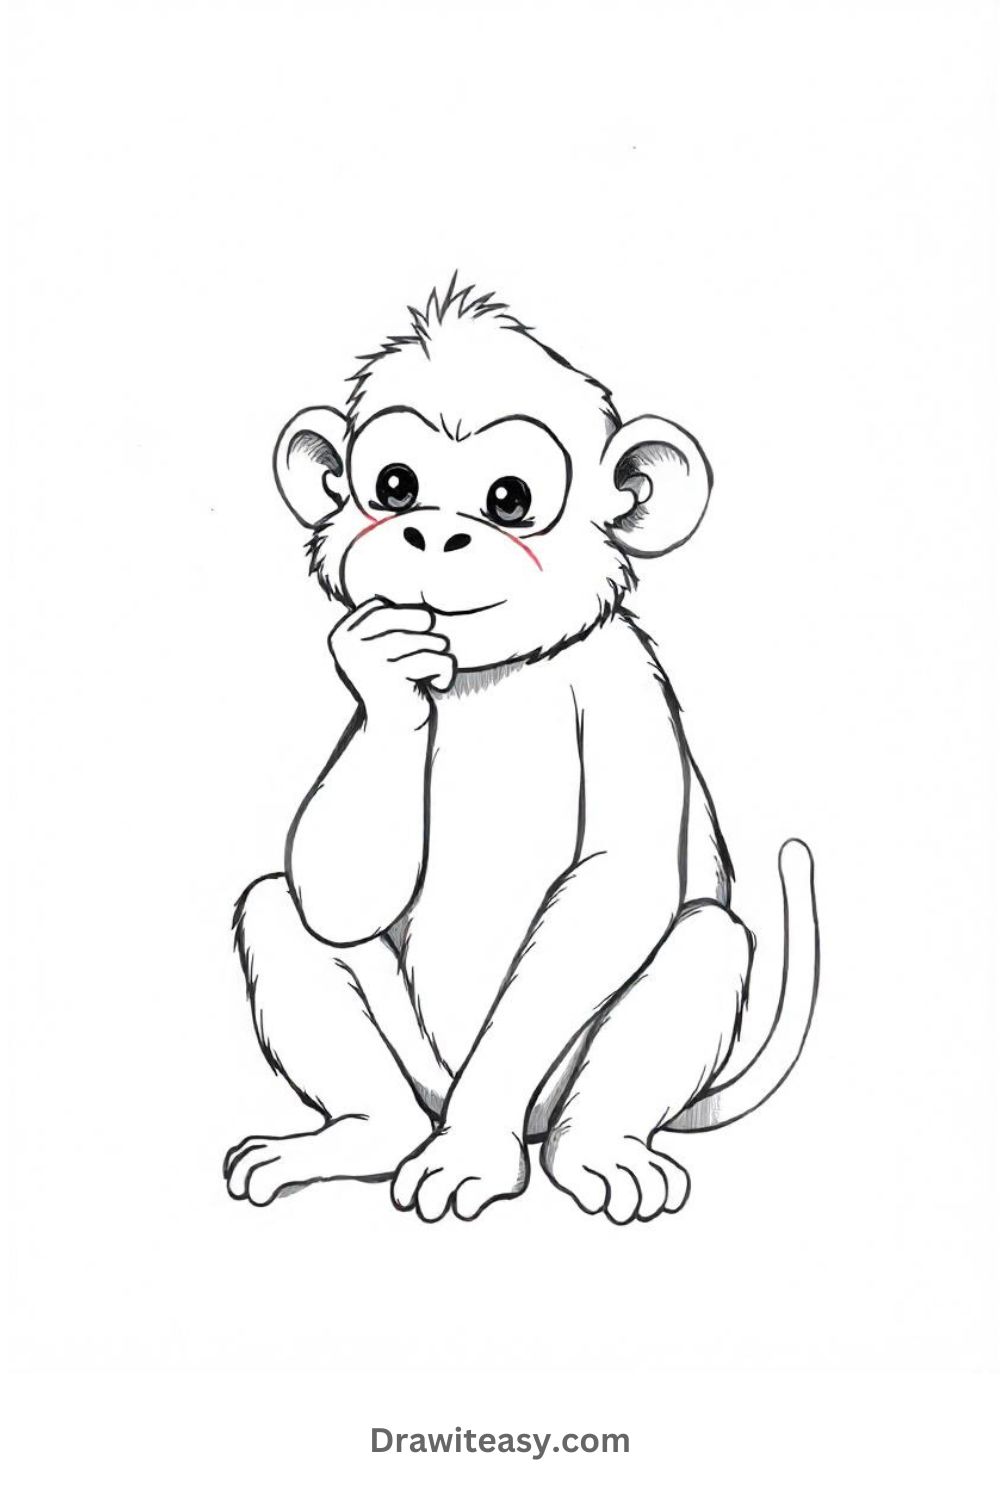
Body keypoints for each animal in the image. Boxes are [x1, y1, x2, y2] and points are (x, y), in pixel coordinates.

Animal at [224, 277, 820, 1224]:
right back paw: (358, 1137)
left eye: (509, 498)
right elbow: (334, 887)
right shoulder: (365, 725)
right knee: (277, 908)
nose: (432, 534)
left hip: (565, 1072)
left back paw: (596, 1150)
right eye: (395, 485)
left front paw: (470, 1156)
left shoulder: (630, 687)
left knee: (705, 940)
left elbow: (617, 878)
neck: (489, 674)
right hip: (417, 1069)